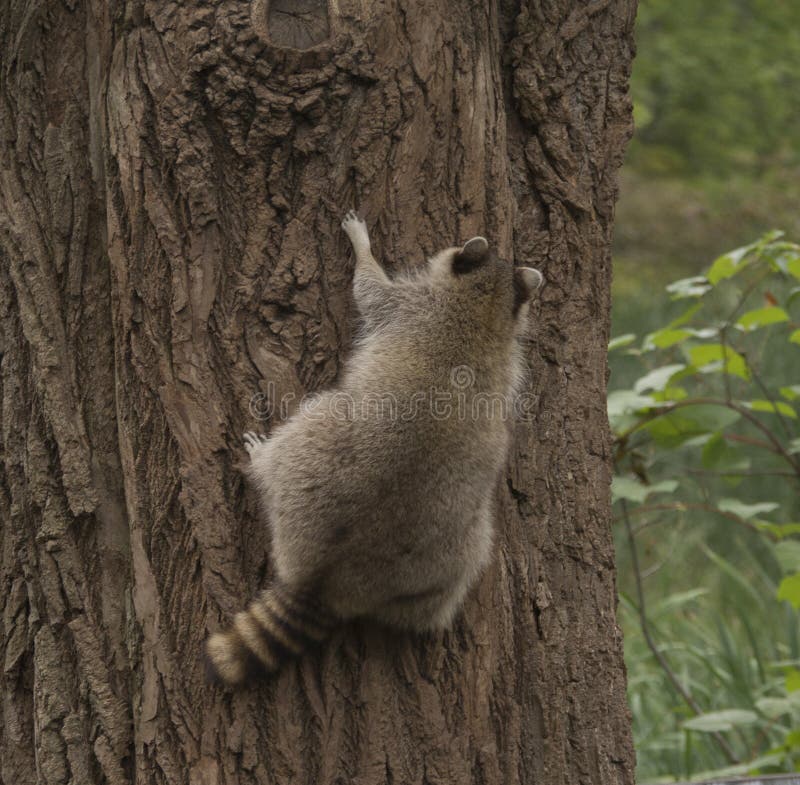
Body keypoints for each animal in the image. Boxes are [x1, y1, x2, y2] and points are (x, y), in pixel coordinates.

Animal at [205, 211, 543, 687]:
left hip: (319, 449)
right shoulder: (510, 363)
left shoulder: (406, 306)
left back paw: (263, 460)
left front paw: (362, 249)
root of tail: (335, 575)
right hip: (448, 558)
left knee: (307, 427)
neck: (484, 308)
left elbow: (368, 291)